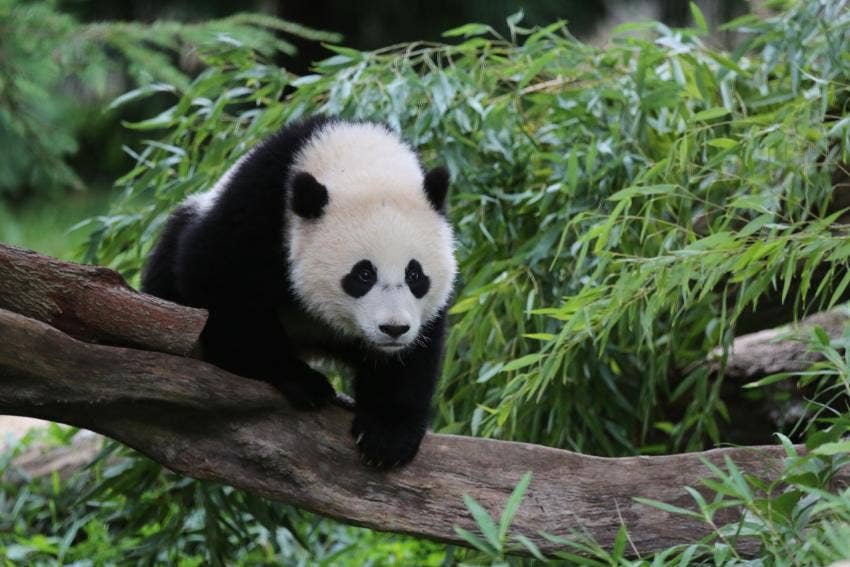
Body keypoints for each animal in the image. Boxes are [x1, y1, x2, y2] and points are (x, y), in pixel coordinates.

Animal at [141, 116, 457, 469]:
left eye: (414, 274)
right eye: (363, 274)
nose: (393, 329)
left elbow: (413, 356)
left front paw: (386, 436)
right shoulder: (258, 207)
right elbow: (220, 286)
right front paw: (300, 380)